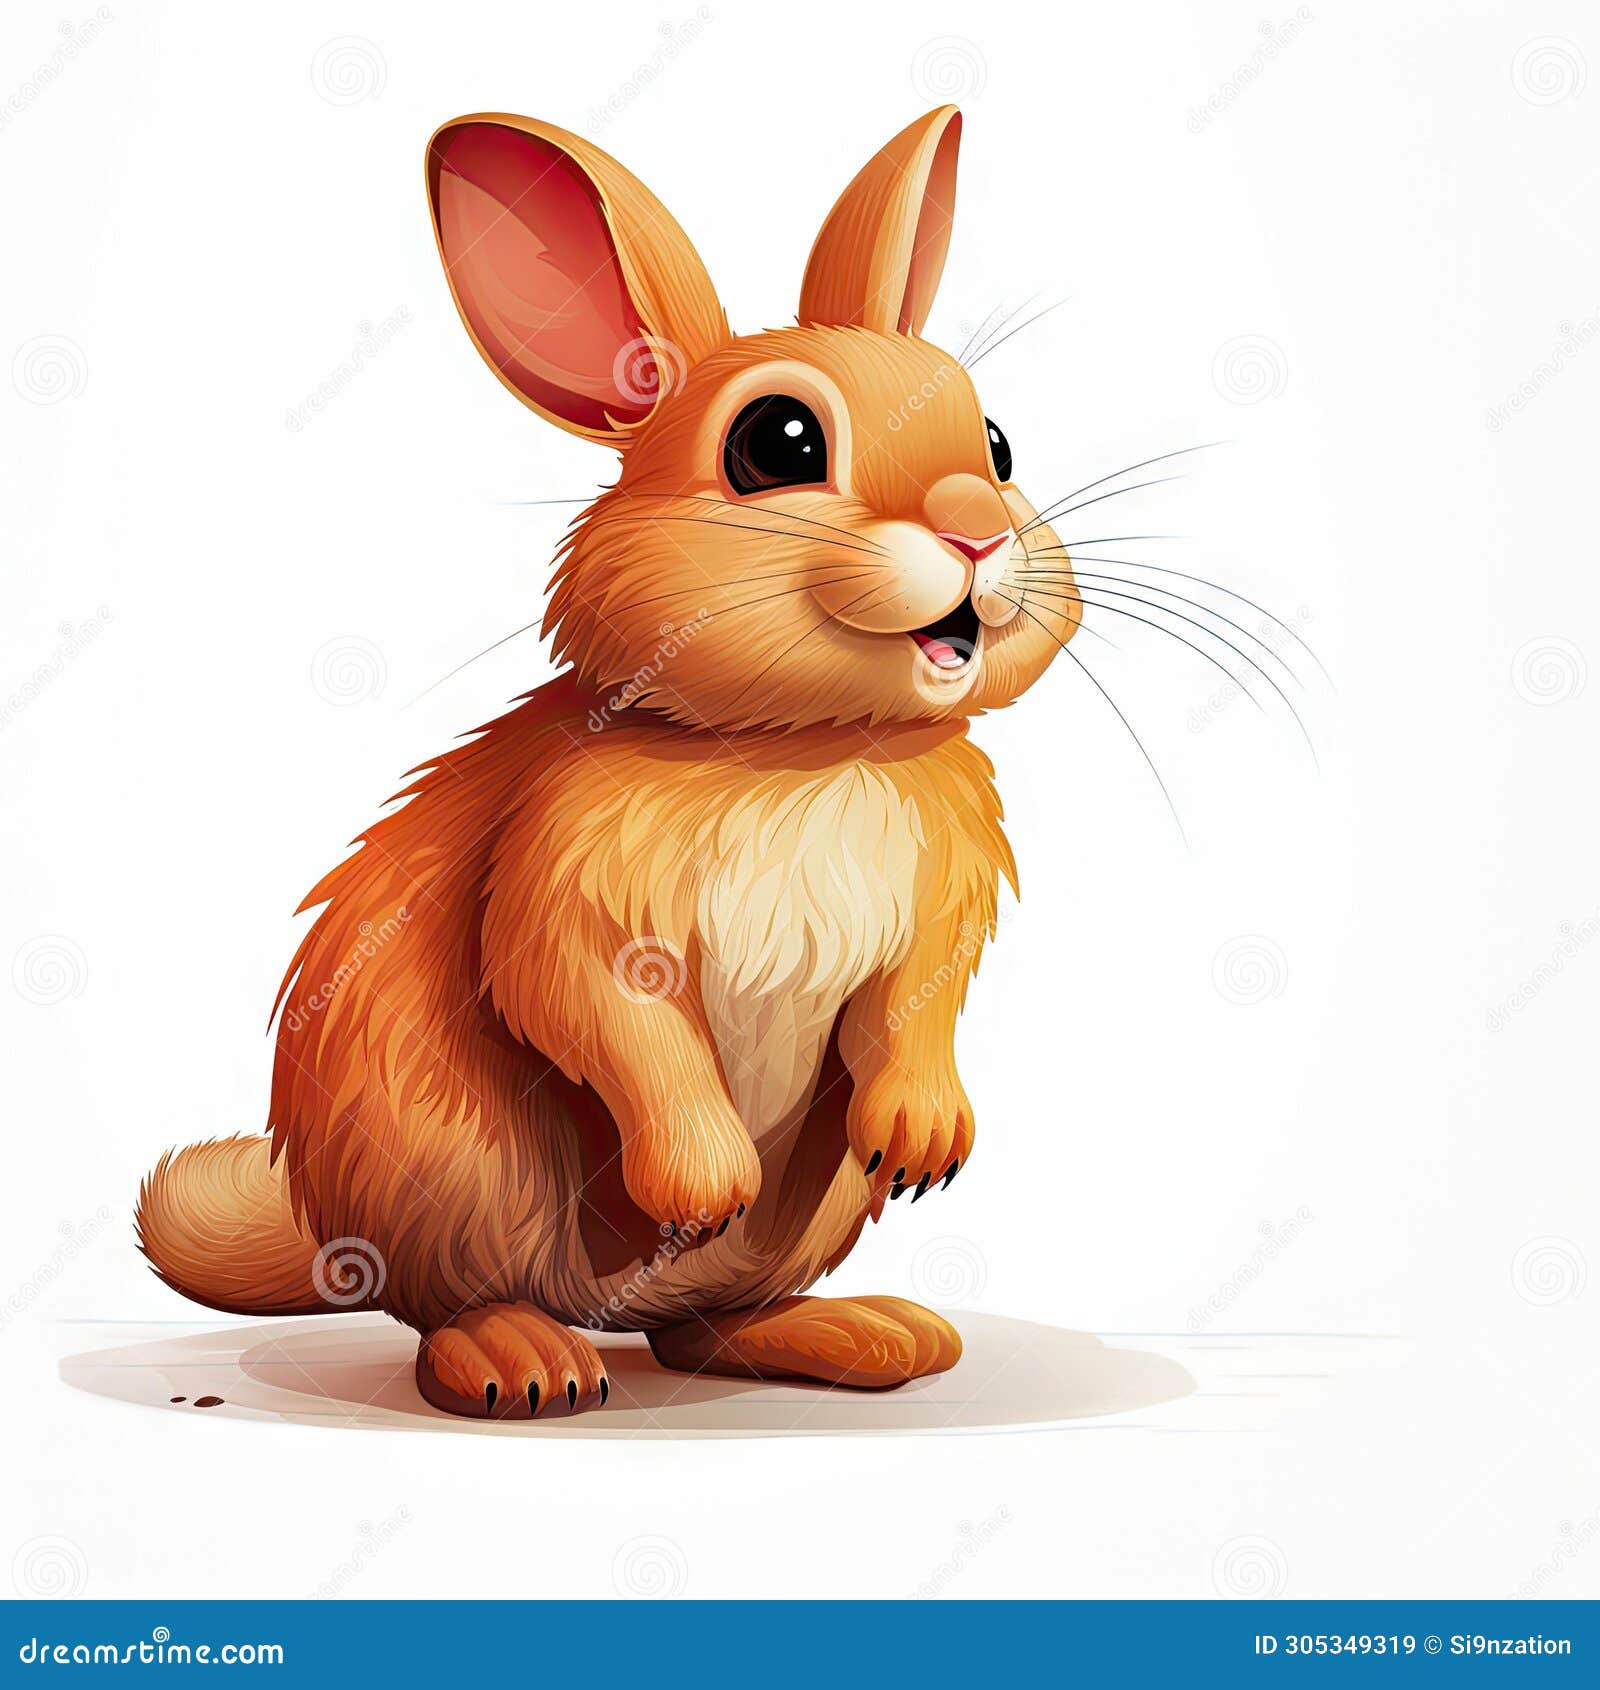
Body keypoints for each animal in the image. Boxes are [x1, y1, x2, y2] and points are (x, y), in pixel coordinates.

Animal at [134, 104, 1082, 1418]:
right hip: (447, 1169)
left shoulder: (939, 914)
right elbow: (615, 1028)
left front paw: (924, 1139)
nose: (977, 531)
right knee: (446, 1304)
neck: (803, 754)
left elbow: (914, 1010)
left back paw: (871, 1335)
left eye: (995, 439)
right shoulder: (571, 908)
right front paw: (700, 1184)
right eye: (777, 441)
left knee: (702, 1330)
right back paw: (523, 1363)